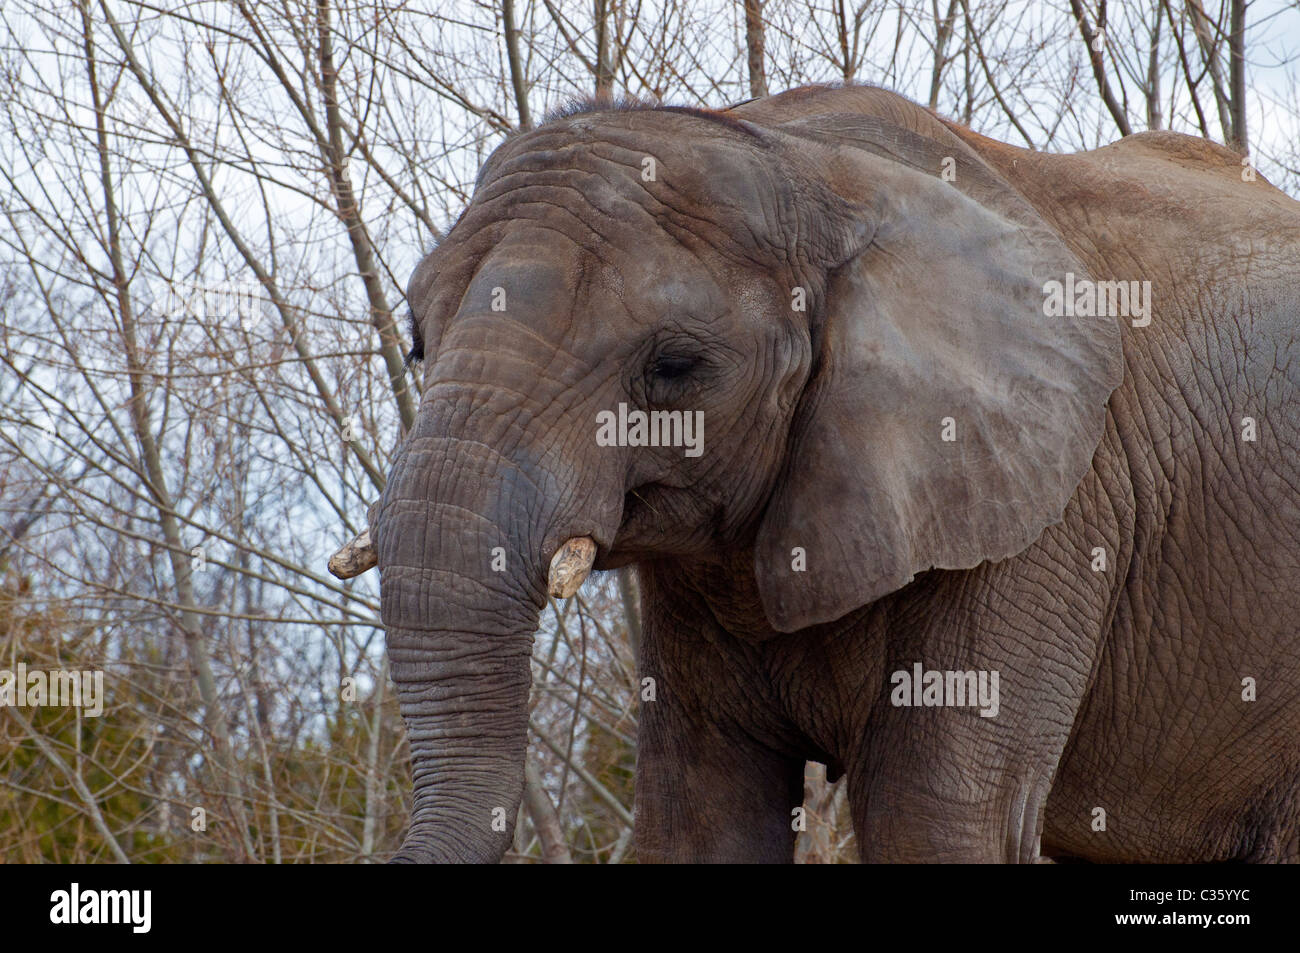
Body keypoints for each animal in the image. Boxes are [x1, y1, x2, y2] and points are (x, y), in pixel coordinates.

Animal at [331, 83, 1300, 863]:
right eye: (416, 341)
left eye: (675, 365)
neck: (804, 159)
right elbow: (703, 820)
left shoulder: (1055, 510)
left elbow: (931, 820)